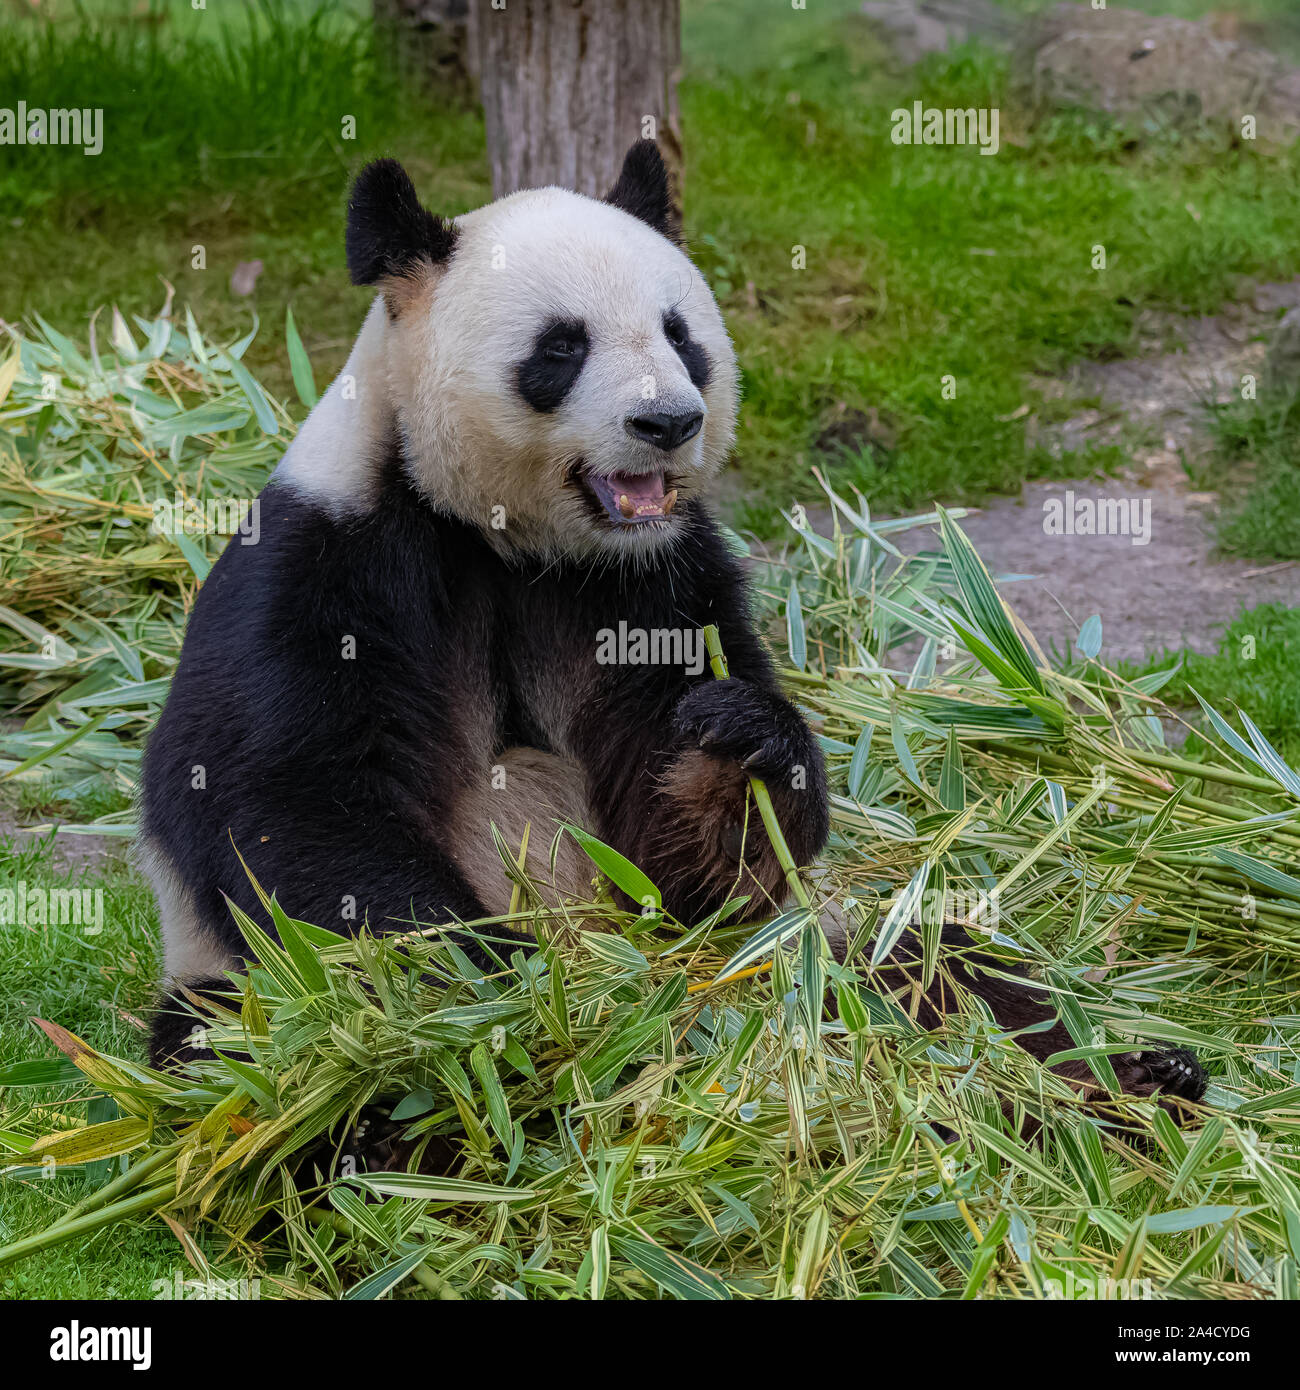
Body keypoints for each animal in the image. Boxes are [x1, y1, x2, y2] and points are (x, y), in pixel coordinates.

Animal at [139, 140, 1206, 1116]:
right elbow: (288, 811)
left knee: (927, 966)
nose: (668, 422)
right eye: (561, 347)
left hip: (794, 955)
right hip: (232, 1009)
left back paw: (1131, 1081)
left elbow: (686, 847)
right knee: (271, 1072)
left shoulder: (649, 582)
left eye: (681, 333)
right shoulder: (325, 564)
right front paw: (508, 997)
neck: (506, 536)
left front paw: (736, 746)